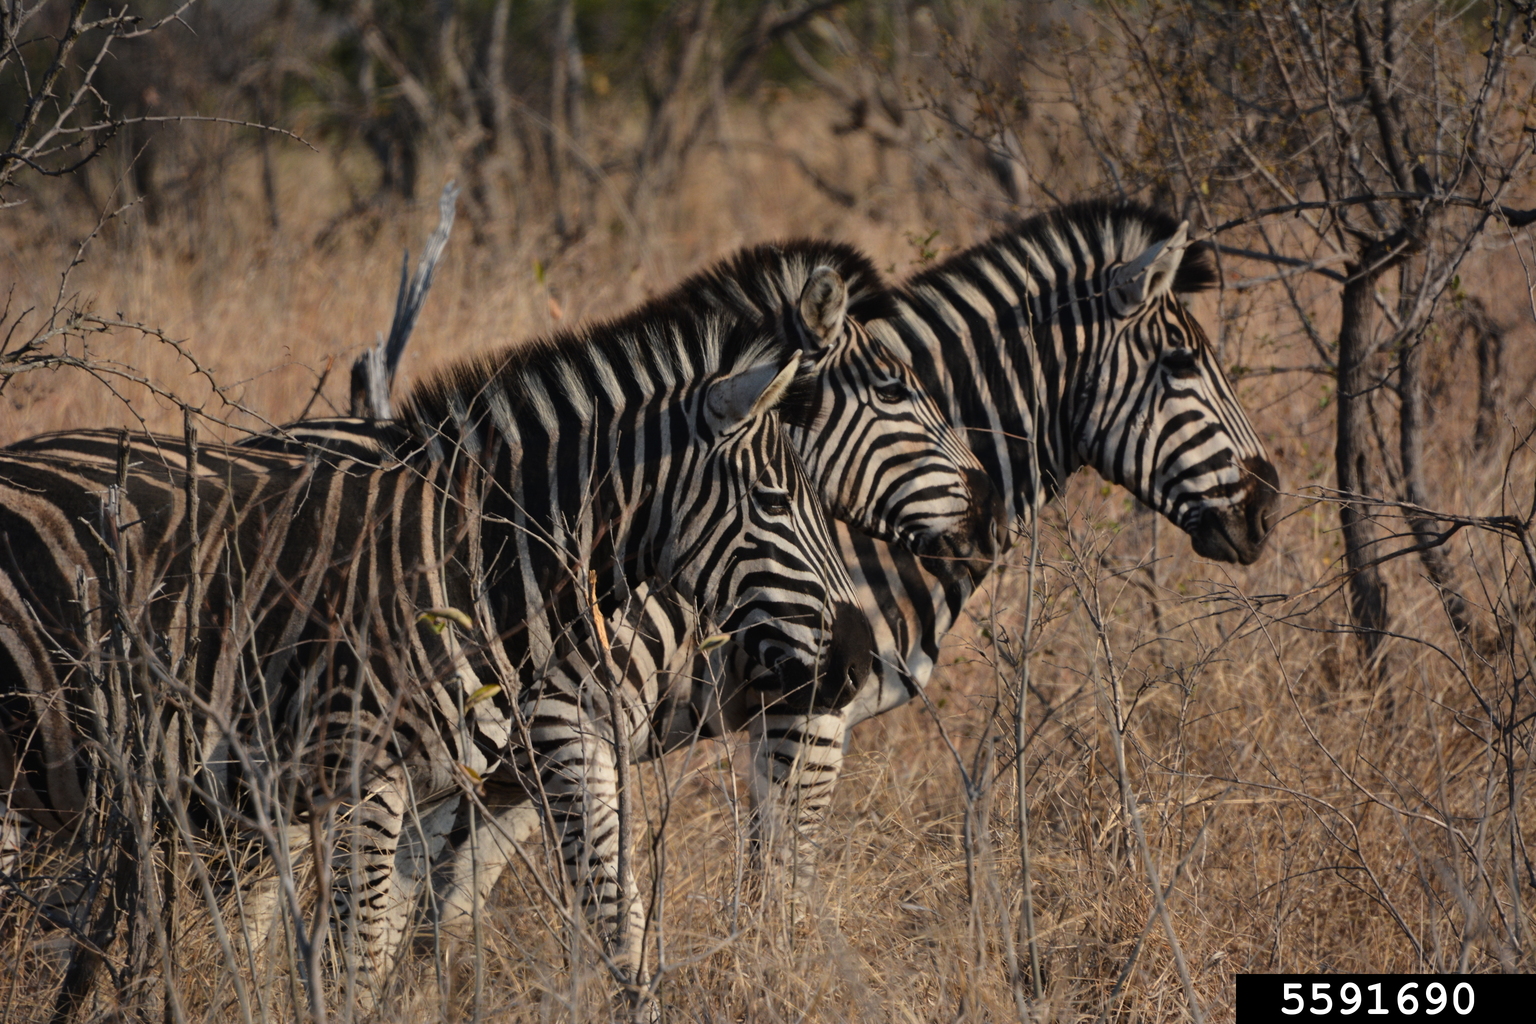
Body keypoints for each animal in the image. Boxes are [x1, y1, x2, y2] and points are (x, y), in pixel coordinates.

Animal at [0, 277, 894, 1009]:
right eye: (774, 502)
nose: (858, 659)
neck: (467, 564)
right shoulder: (366, 772)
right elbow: (360, 961)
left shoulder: (442, 784)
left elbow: (449, 933)